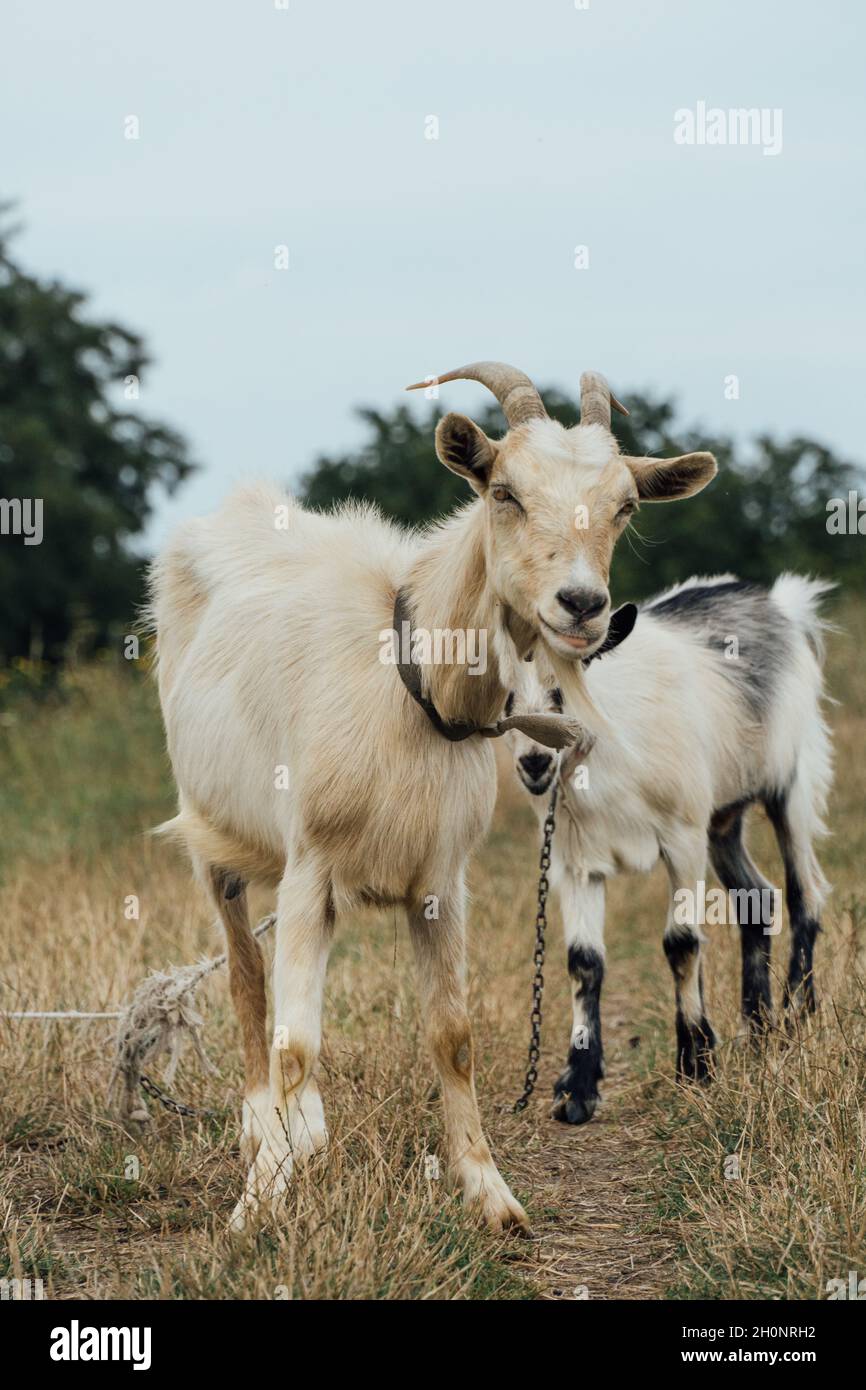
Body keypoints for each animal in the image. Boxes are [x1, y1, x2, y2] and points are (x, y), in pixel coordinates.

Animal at [147, 362, 717, 1231]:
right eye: (504, 491)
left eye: (625, 505)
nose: (581, 606)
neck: (412, 682)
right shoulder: (310, 866)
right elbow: (292, 1043)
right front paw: (259, 1202)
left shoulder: (441, 882)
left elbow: (453, 1036)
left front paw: (490, 1193)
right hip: (215, 837)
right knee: (246, 981)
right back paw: (261, 1131)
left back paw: (304, 1130)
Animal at [507, 574, 833, 1124]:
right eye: (505, 696)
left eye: (563, 690)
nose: (534, 763)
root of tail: (778, 603)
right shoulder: (574, 860)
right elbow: (583, 960)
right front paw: (578, 1087)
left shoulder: (681, 838)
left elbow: (681, 943)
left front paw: (696, 1062)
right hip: (722, 820)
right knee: (757, 898)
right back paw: (757, 1030)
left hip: (790, 785)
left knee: (802, 891)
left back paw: (794, 1018)